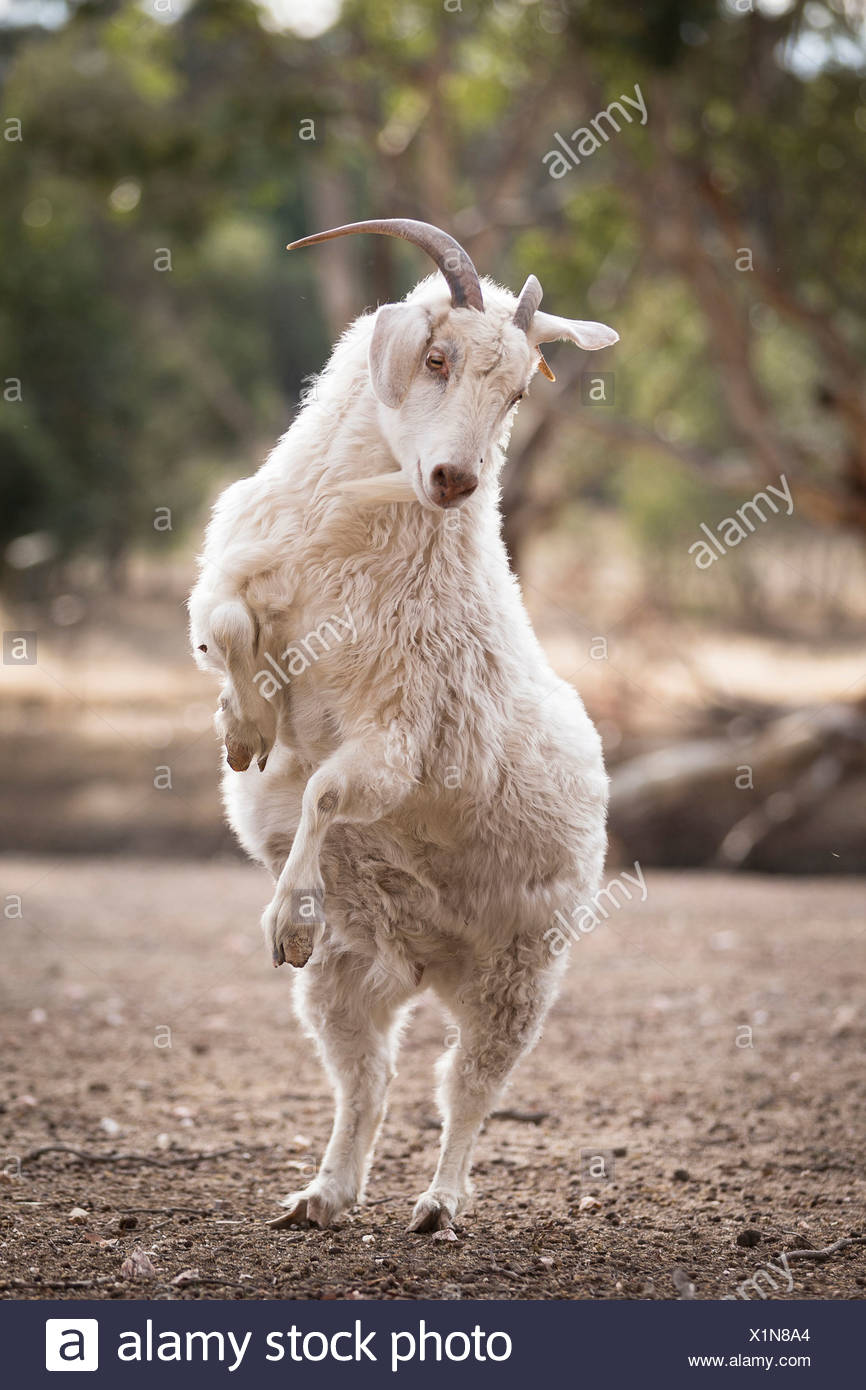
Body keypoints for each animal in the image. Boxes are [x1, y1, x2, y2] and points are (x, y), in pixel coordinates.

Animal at [188, 219, 617, 1232]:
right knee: (368, 1080)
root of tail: (421, 963)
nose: (455, 479)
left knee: (467, 1086)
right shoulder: (234, 577)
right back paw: (324, 1195)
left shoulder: (404, 734)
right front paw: (242, 727)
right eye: (436, 356)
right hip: (351, 977)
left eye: (516, 390)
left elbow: (328, 790)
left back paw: (438, 1206)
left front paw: (288, 916)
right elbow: (230, 632)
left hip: (518, 974)